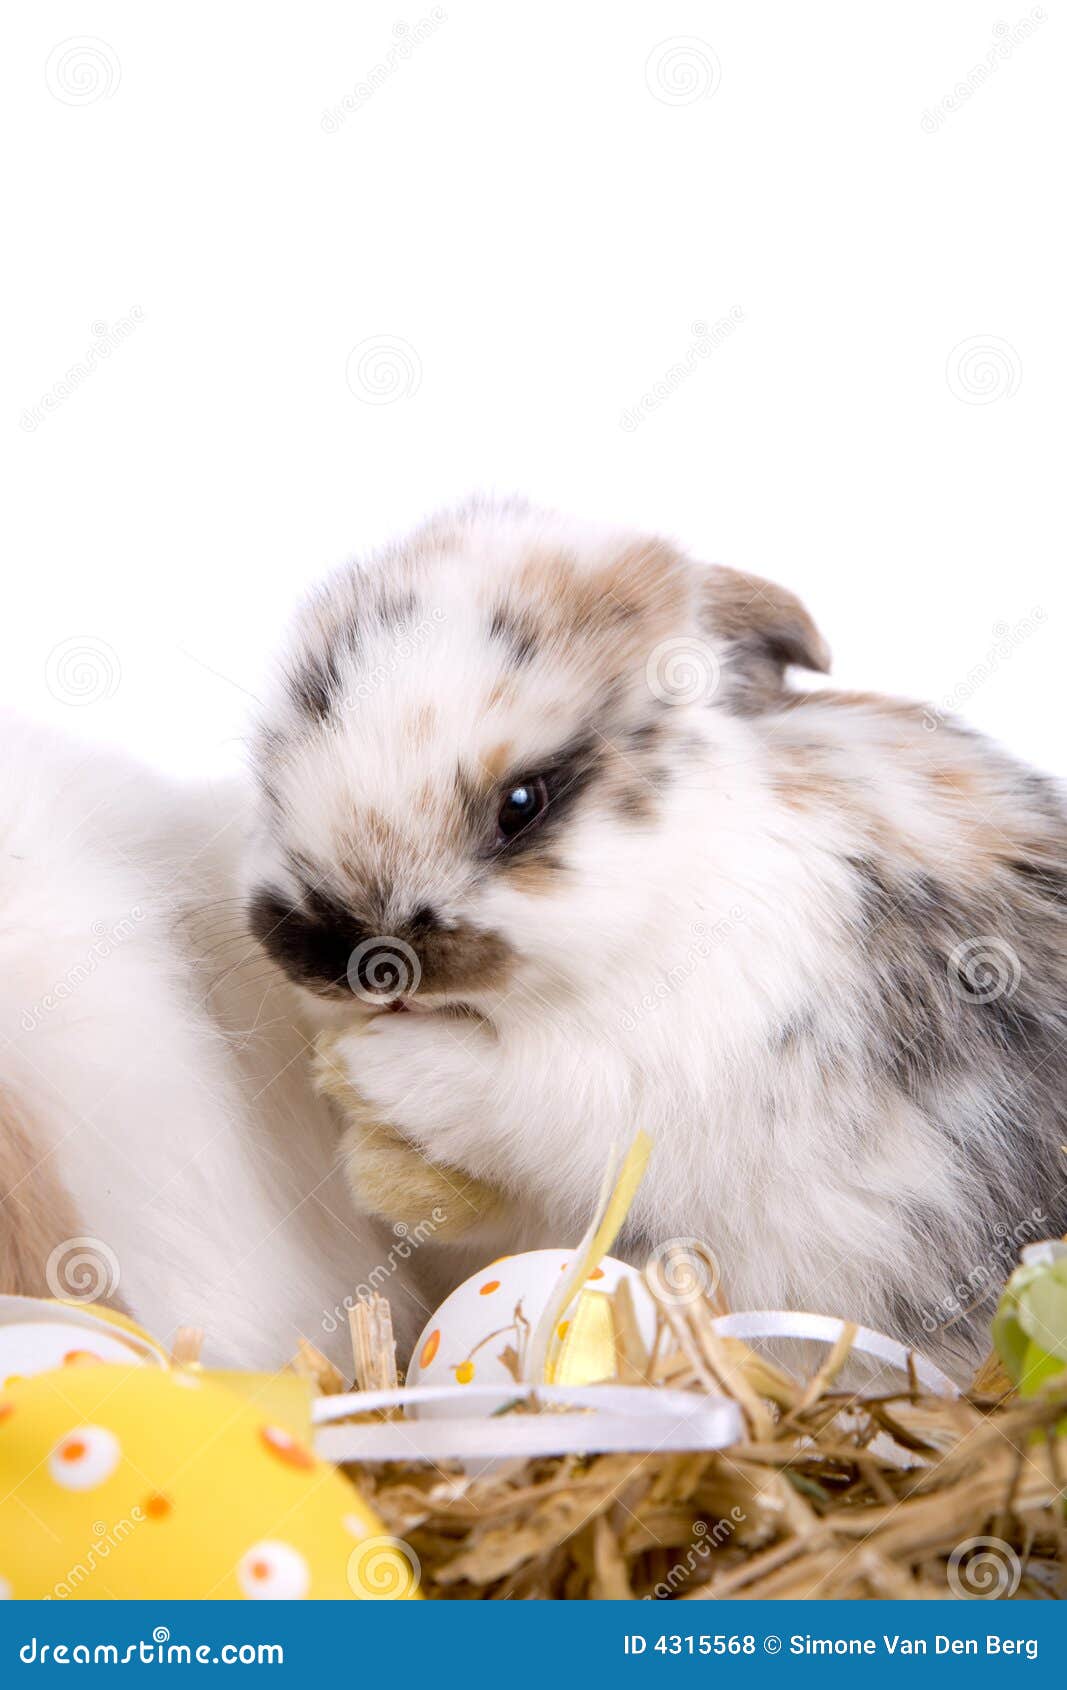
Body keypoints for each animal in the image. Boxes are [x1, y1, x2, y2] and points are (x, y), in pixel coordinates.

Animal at [246, 498, 1067, 1375]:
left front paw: (362, 1066)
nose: (355, 962)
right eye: (270, 784)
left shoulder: (628, 1078)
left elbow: (498, 1092)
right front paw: (372, 1153)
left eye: (523, 802)